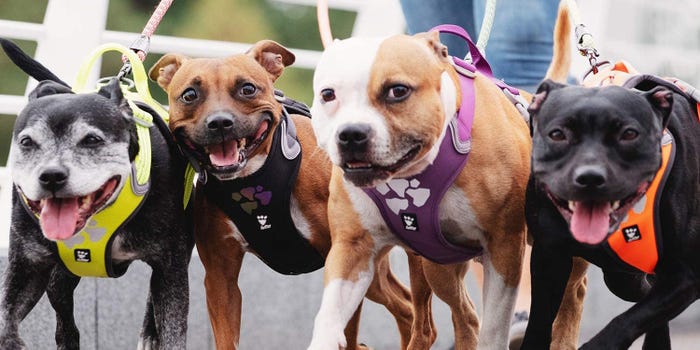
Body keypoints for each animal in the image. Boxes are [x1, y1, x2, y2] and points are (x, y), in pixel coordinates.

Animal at [1, 37, 193, 348]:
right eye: (27, 142)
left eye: (92, 139)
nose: (51, 175)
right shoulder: (26, 265)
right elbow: (6, 317)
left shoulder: (171, 265)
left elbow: (172, 329)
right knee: (60, 298)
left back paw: (148, 335)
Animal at [150, 39, 418, 348]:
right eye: (190, 94)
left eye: (247, 89)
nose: (219, 123)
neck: (253, 177)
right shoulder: (220, 278)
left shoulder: (348, 261)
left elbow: (345, 333)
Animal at [524, 79, 700, 350]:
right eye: (557, 134)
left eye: (629, 134)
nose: (590, 177)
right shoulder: (549, 259)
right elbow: (538, 324)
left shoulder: (685, 276)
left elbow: (626, 322)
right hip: (623, 280)